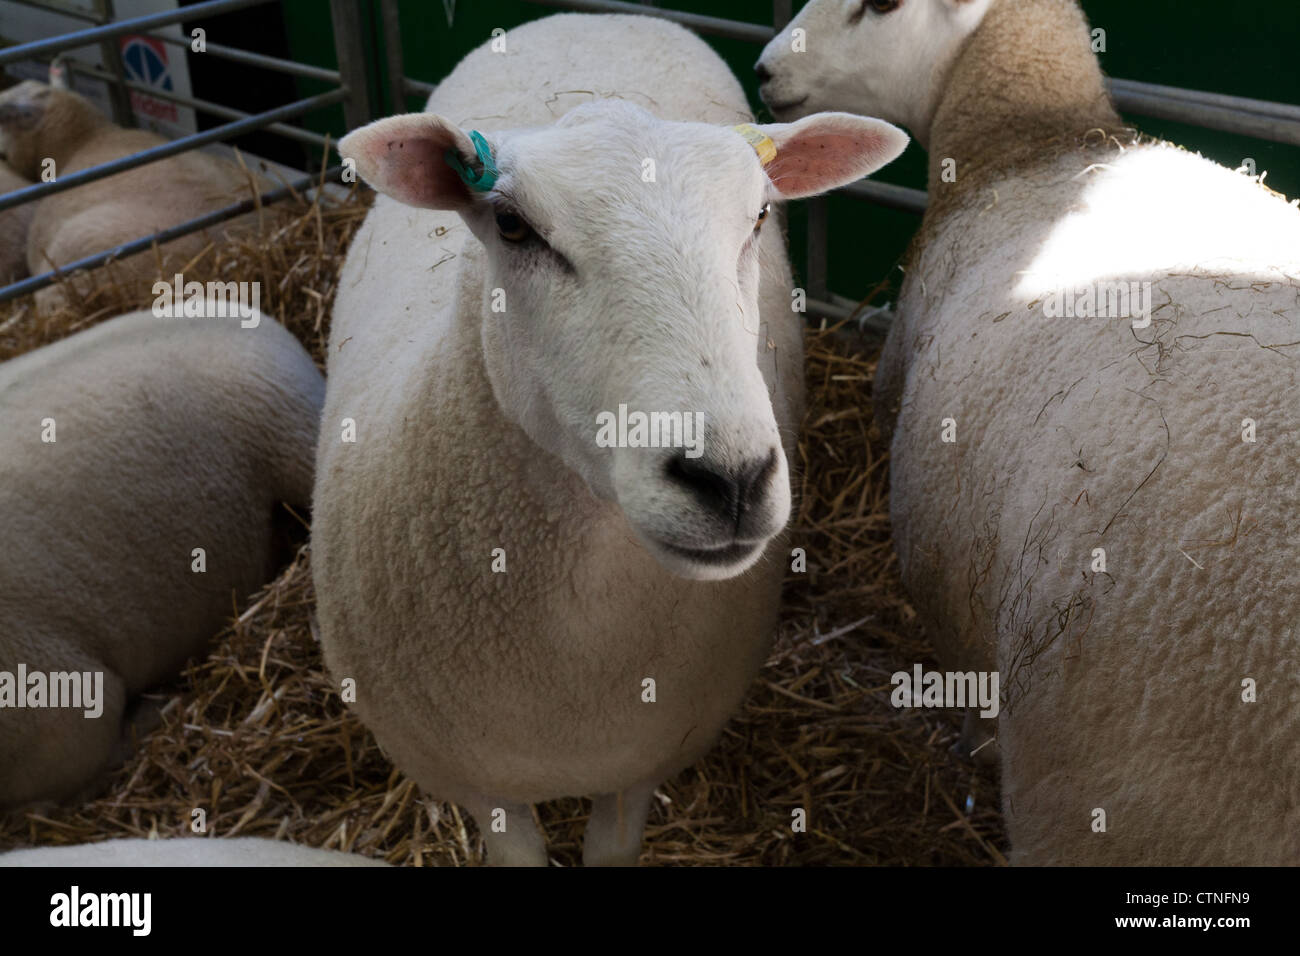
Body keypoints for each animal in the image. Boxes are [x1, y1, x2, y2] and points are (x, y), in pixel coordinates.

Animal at [314, 12, 908, 866]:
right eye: (512, 225)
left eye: (759, 217)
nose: (730, 479)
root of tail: (594, 15)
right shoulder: (481, 784)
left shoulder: (641, 764)